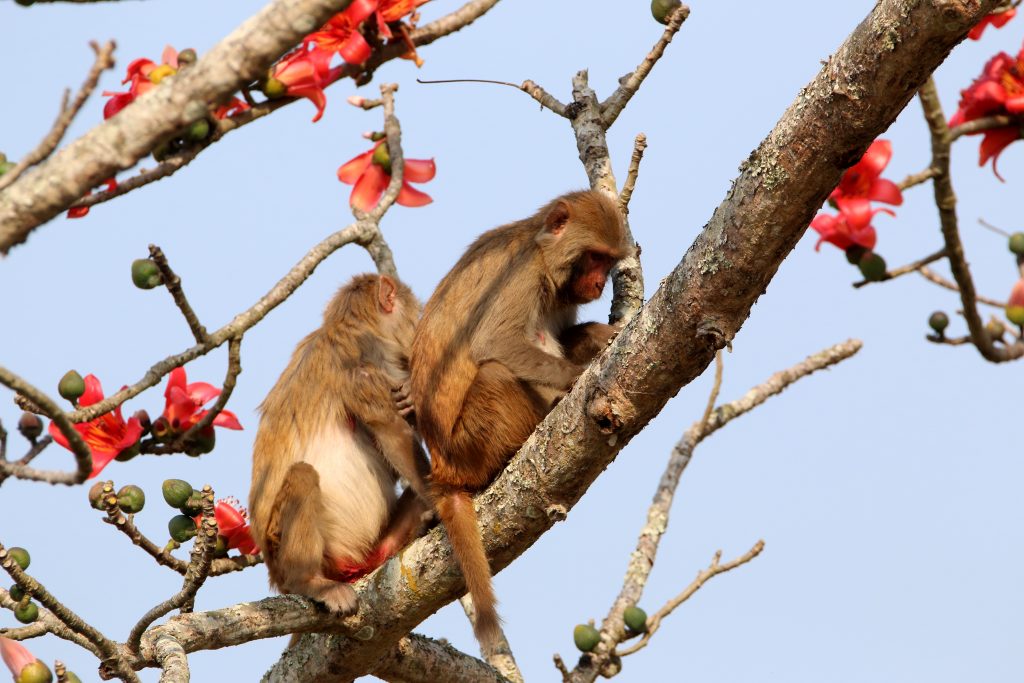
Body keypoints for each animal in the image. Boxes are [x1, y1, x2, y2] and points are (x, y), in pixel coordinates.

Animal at [249, 273, 433, 615]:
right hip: (287, 548)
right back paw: (308, 582)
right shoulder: (362, 365)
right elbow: (392, 433)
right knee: (303, 476)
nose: (417, 328)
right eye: (415, 312)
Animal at [409, 190, 627, 646]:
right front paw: (576, 374)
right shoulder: (521, 275)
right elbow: (496, 342)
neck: (543, 251)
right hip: (471, 444)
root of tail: (445, 471)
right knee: (495, 370)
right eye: (594, 258)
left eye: (607, 262)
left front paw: (600, 336)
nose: (599, 284)